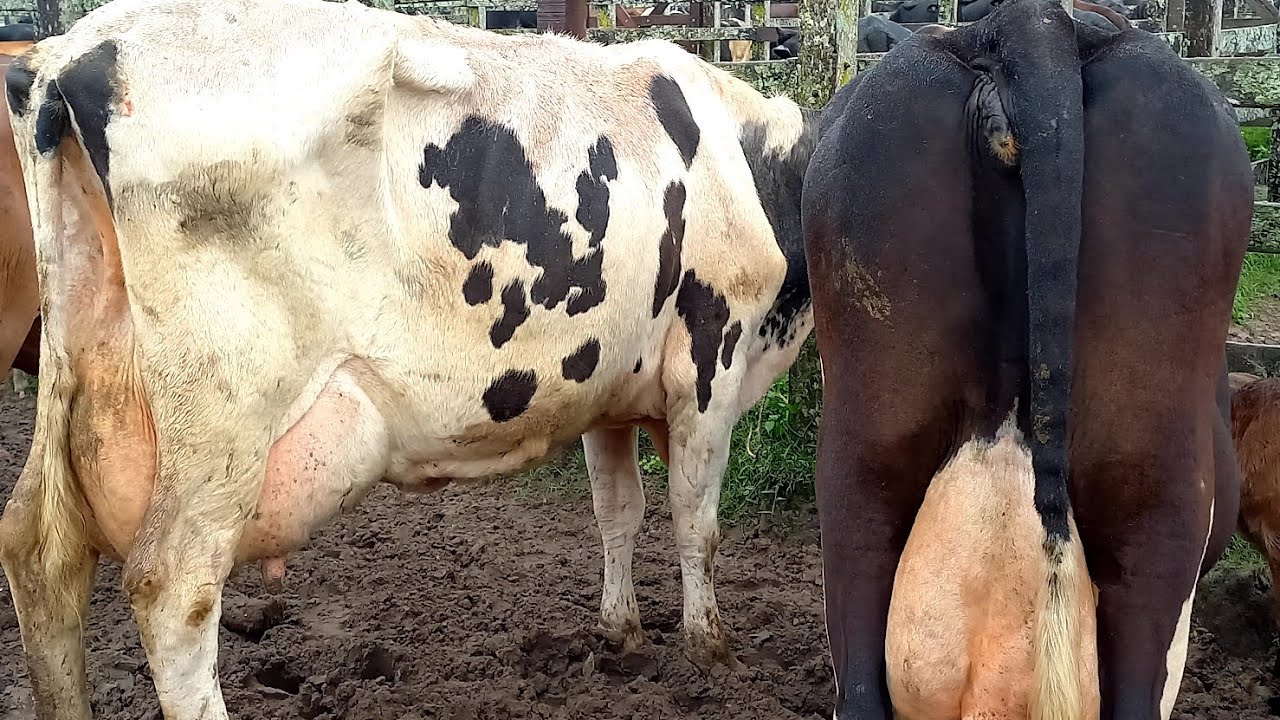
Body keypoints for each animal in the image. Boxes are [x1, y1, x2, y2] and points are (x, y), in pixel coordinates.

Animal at [0, 0, 819, 716]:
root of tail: (69, 54)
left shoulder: (606, 386)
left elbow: (618, 512)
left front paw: (622, 636)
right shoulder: (711, 360)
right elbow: (695, 520)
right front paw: (712, 652)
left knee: (38, 552)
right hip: (223, 424)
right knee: (172, 588)